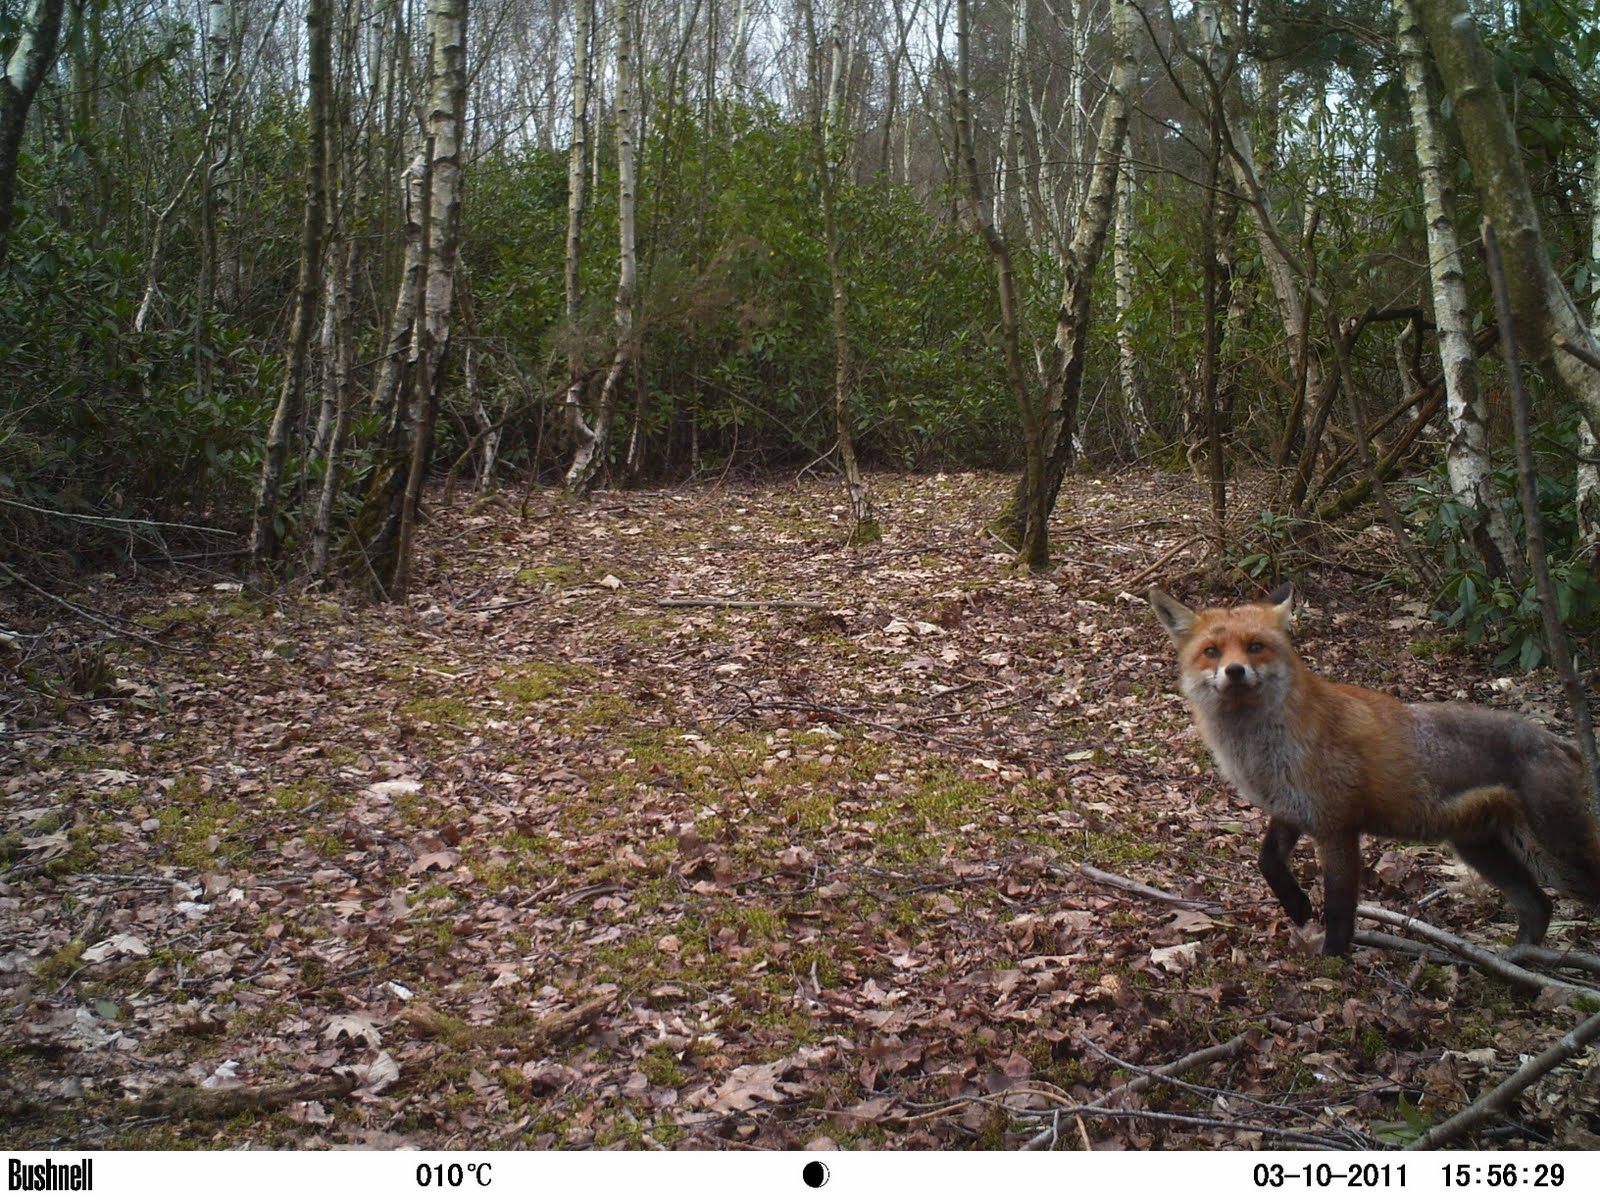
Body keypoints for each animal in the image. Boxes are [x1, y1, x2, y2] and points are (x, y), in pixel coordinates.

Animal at [1148, 583, 1600, 957]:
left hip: (1557, 857)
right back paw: (1513, 969)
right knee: (1538, 907)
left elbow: (1340, 908)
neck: (1262, 752)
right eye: (1212, 652)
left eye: (1255, 647)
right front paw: (1298, 906)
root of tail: (1556, 739)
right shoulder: (1291, 810)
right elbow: (1267, 862)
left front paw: (1332, 963)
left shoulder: (1338, 827)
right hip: (1483, 851)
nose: (1235, 671)